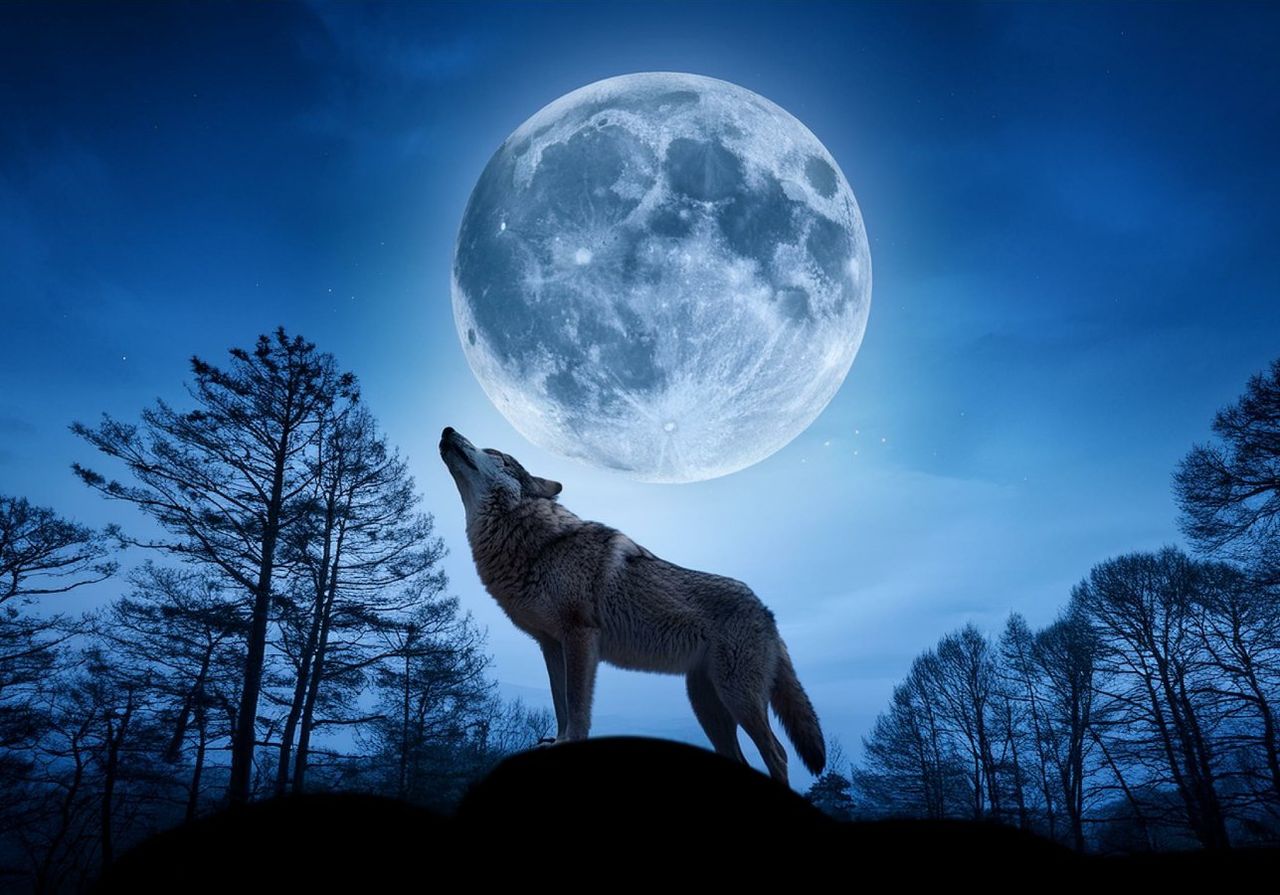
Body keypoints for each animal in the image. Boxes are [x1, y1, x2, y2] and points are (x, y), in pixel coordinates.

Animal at [439, 427, 825, 784]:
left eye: (494, 453)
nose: (447, 430)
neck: (536, 542)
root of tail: (766, 610)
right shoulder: (550, 644)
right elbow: (560, 702)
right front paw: (557, 740)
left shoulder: (580, 635)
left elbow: (577, 705)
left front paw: (569, 742)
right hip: (707, 703)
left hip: (737, 697)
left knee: (778, 753)